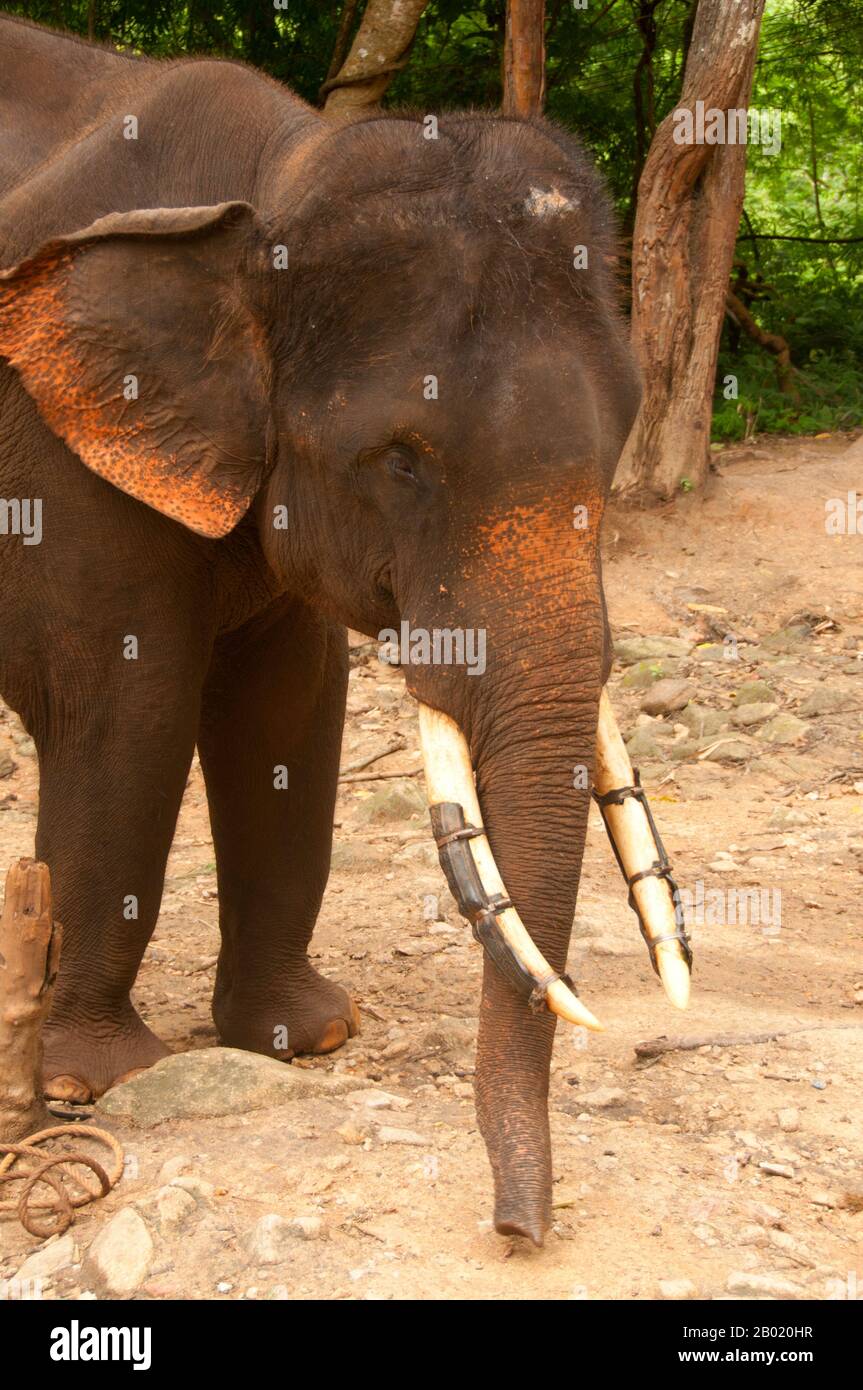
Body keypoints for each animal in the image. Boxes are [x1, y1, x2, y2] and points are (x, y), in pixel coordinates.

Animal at [0, 14, 640, 1246]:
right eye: (400, 459)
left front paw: (307, 1034)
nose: (516, 1231)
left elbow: (290, 709)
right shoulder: (60, 453)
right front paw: (92, 1078)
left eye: (624, 432)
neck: (275, 180)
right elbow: (128, 713)